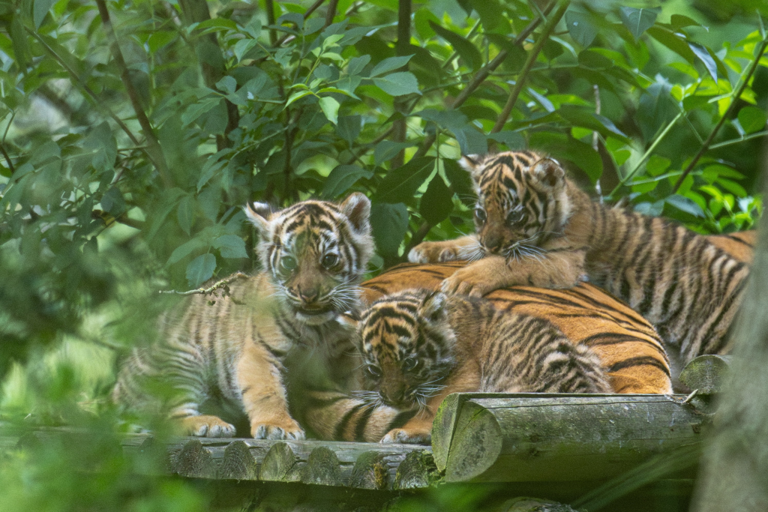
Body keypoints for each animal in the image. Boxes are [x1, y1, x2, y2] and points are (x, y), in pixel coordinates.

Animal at [112, 193, 374, 439]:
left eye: (329, 259)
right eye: (289, 262)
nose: (308, 295)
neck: (320, 328)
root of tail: (117, 393)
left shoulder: (345, 355)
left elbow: (354, 386)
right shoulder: (260, 350)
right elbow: (266, 390)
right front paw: (277, 426)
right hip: (181, 360)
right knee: (168, 419)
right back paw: (209, 424)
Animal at [349, 289, 611, 444]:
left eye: (409, 362)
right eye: (374, 370)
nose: (393, 399)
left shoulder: (465, 376)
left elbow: (435, 409)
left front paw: (401, 432)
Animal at [408, 150, 752, 378]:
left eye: (514, 216)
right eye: (481, 214)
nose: (491, 243)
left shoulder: (563, 262)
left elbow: (508, 263)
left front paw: (464, 280)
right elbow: (469, 242)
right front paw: (426, 249)